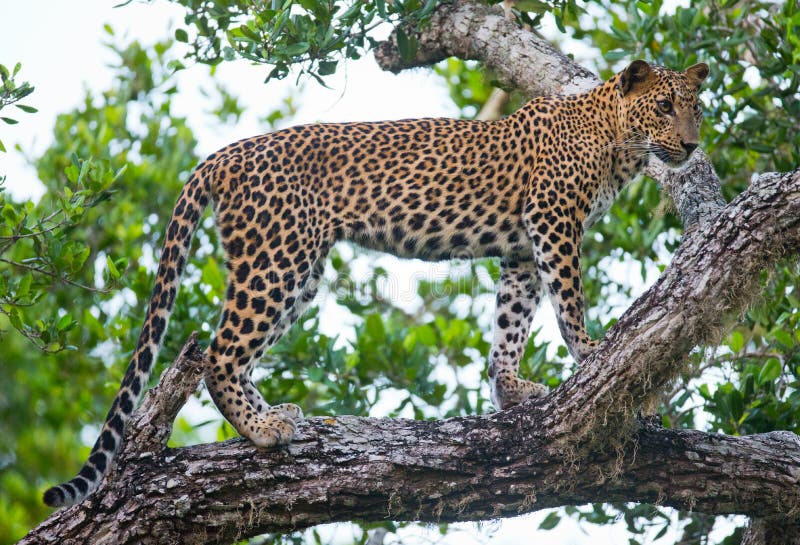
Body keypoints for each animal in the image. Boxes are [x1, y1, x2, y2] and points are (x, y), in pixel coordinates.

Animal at [43, 60, 709, 507]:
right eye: (663, 107)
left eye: (695, 107)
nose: (692, 144)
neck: (617, 143)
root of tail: (223, 154)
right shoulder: (553, 219)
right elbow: (568, 299)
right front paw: (595, 352)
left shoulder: (522, 248)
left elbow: (511, 319)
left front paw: (511, 388)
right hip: (278, 258)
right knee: (219, 351)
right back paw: (263, 431)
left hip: (299, 269)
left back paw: (274, 415)